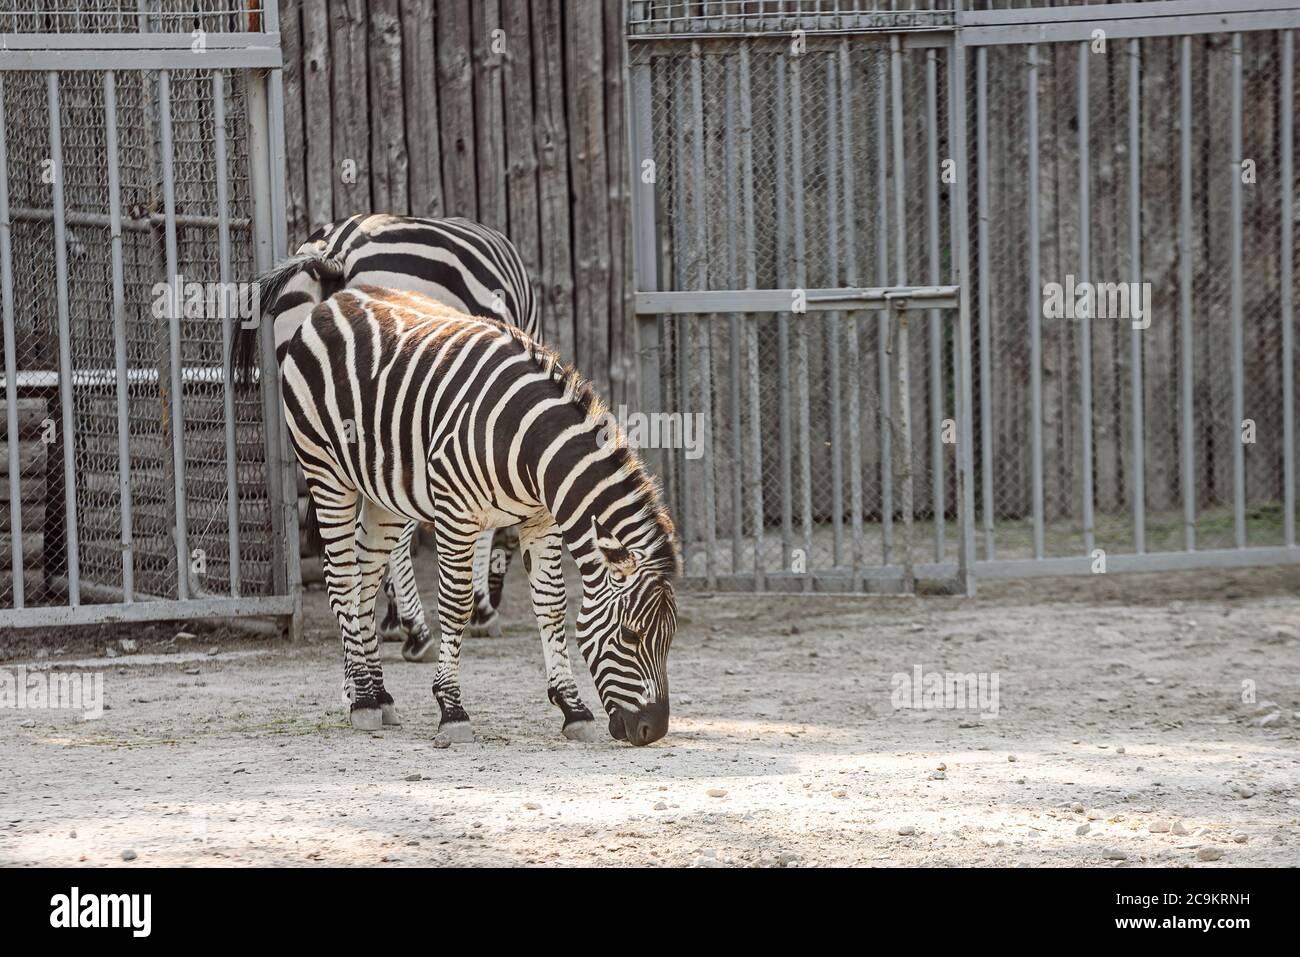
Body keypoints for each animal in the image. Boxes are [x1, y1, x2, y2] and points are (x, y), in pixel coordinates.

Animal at [257, 284, 678, 743]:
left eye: (669, 639)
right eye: (631, 635)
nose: (653, 730)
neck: (528, 444)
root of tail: (338, 296)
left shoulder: (541, 519)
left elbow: (551, 604)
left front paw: (573, 708)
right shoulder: (456, 515)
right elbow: (455, 605)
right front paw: (452, 709)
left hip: (383, 492)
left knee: (365, 581)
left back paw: (377, 694)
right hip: (325, 470)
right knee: (342, 580)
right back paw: (363, 700)